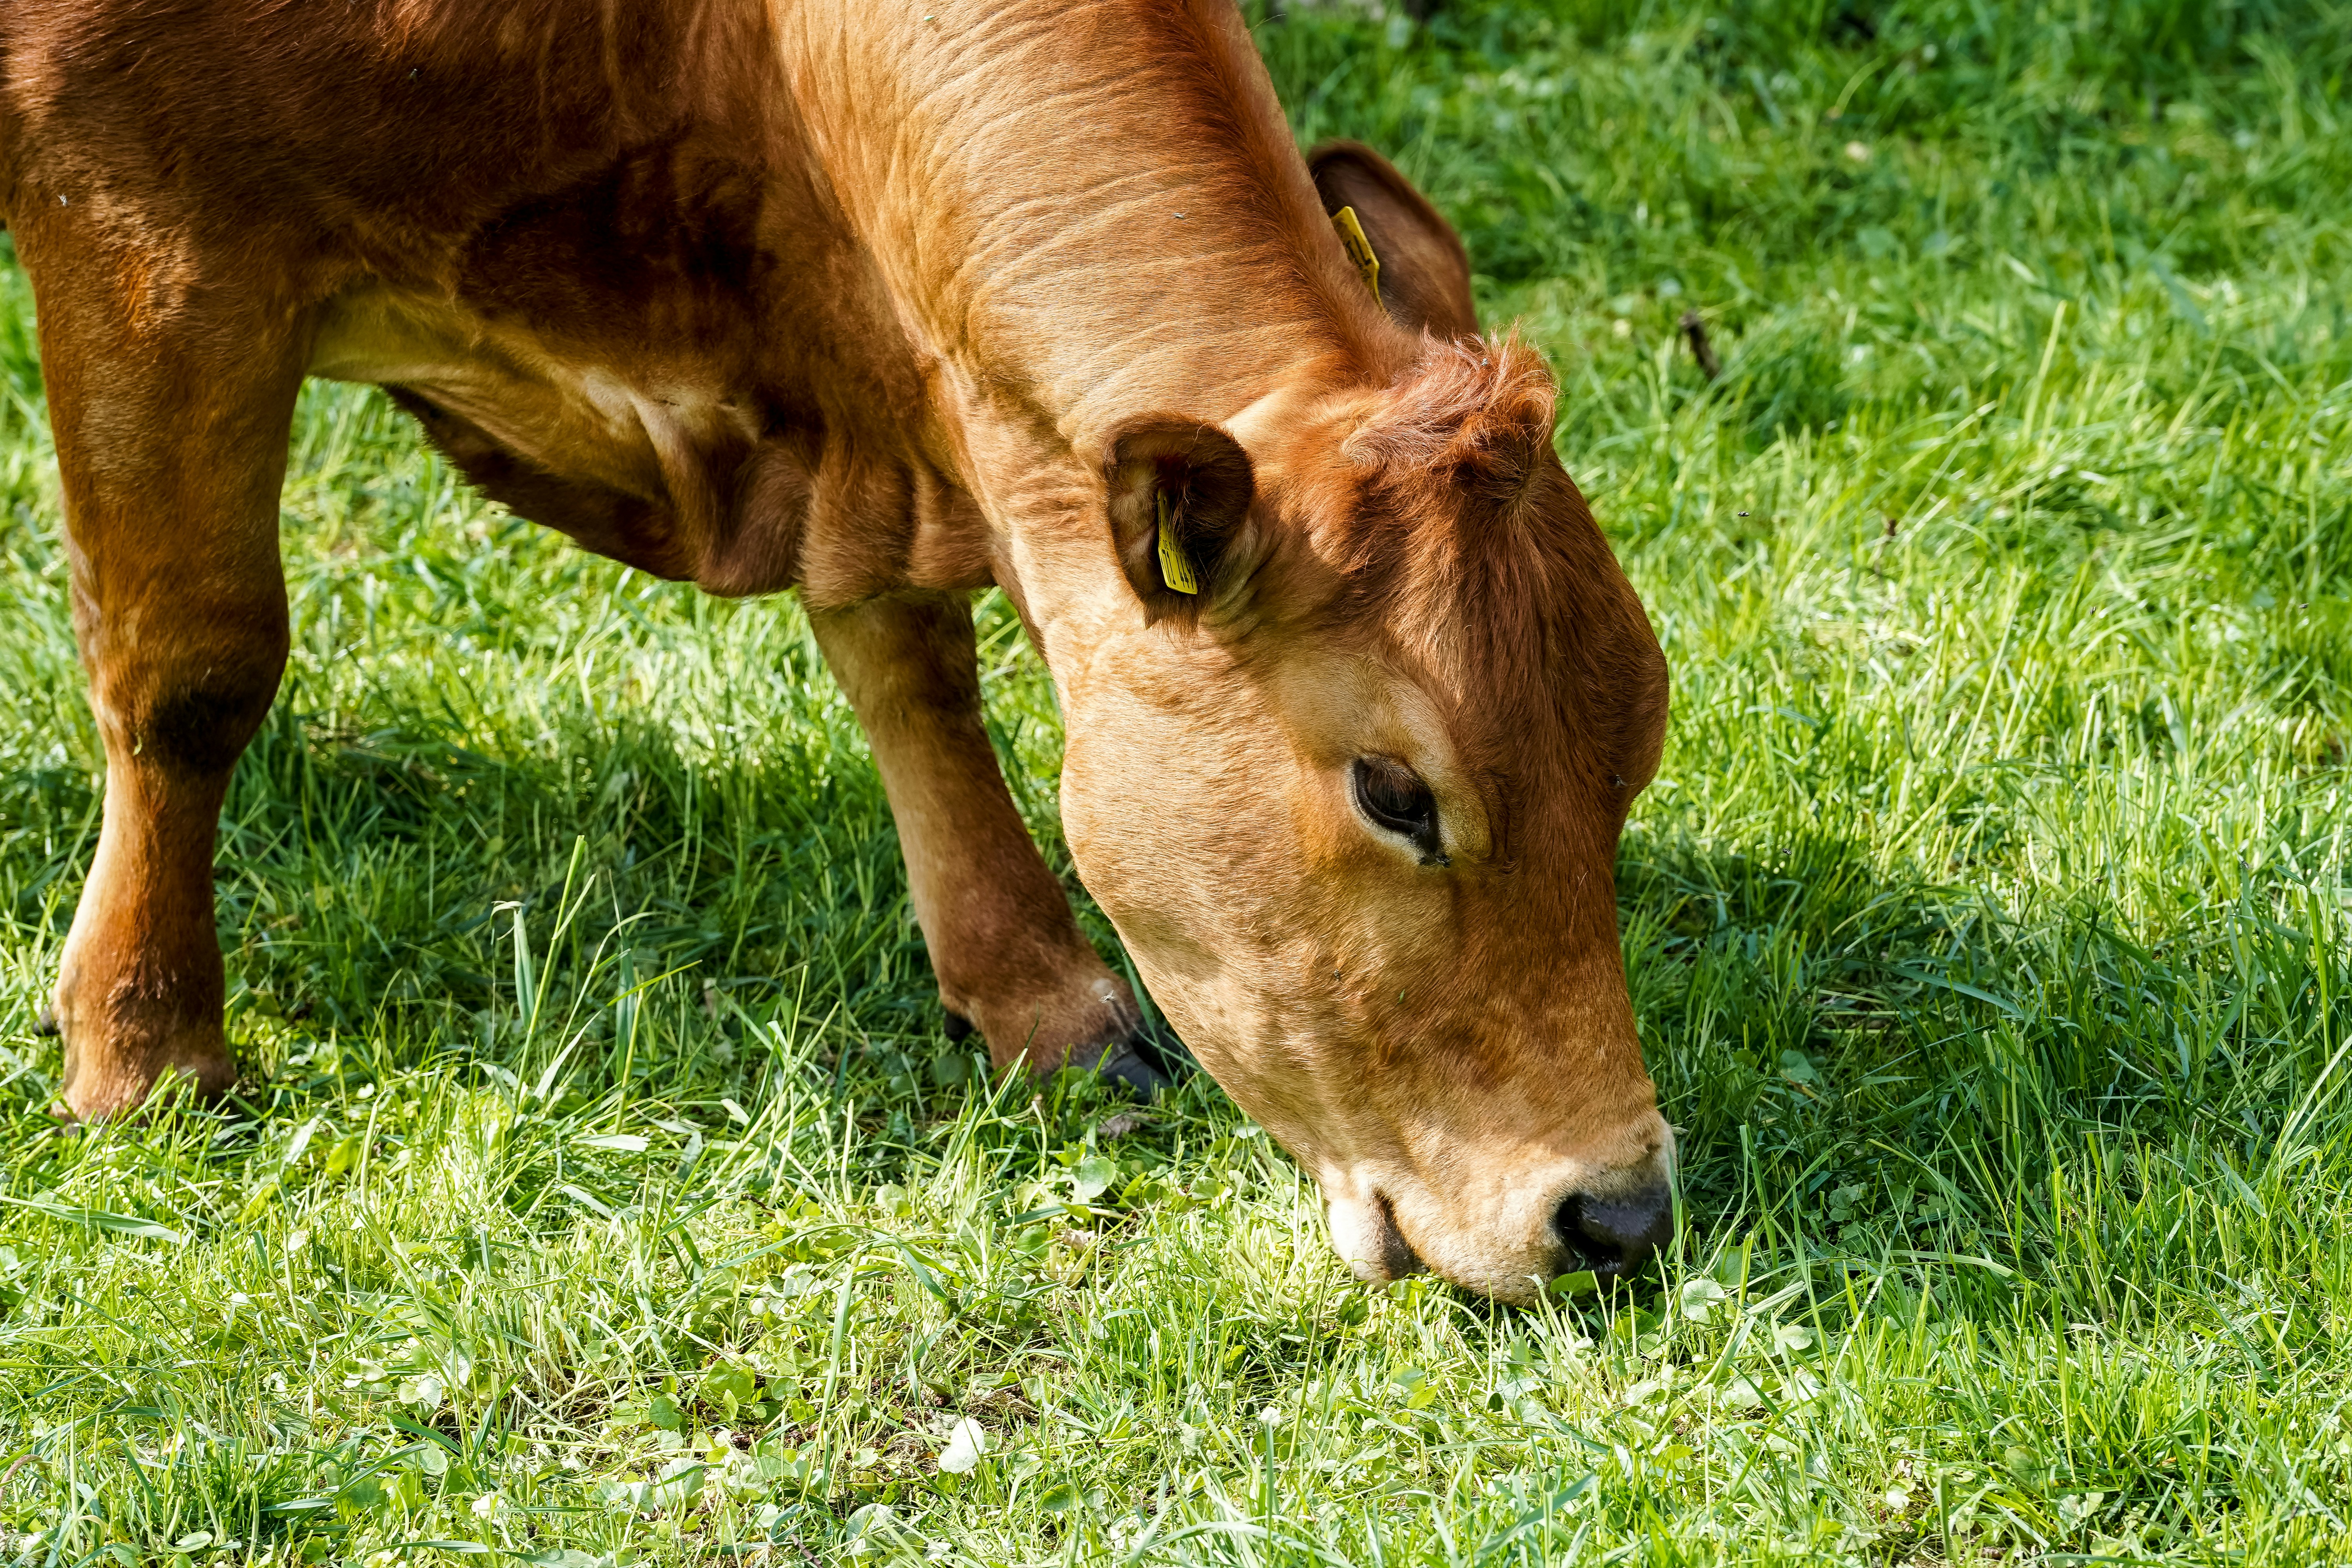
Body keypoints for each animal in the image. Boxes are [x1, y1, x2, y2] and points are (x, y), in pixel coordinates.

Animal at [0, 0, 1672, 1303]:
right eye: (1394, 792)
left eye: (1634, 760)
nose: (1617, 1213)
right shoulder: (147, 226)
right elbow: (192, 666)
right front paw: (145, 1050)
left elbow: (908, 663)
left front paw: (1034, 996)